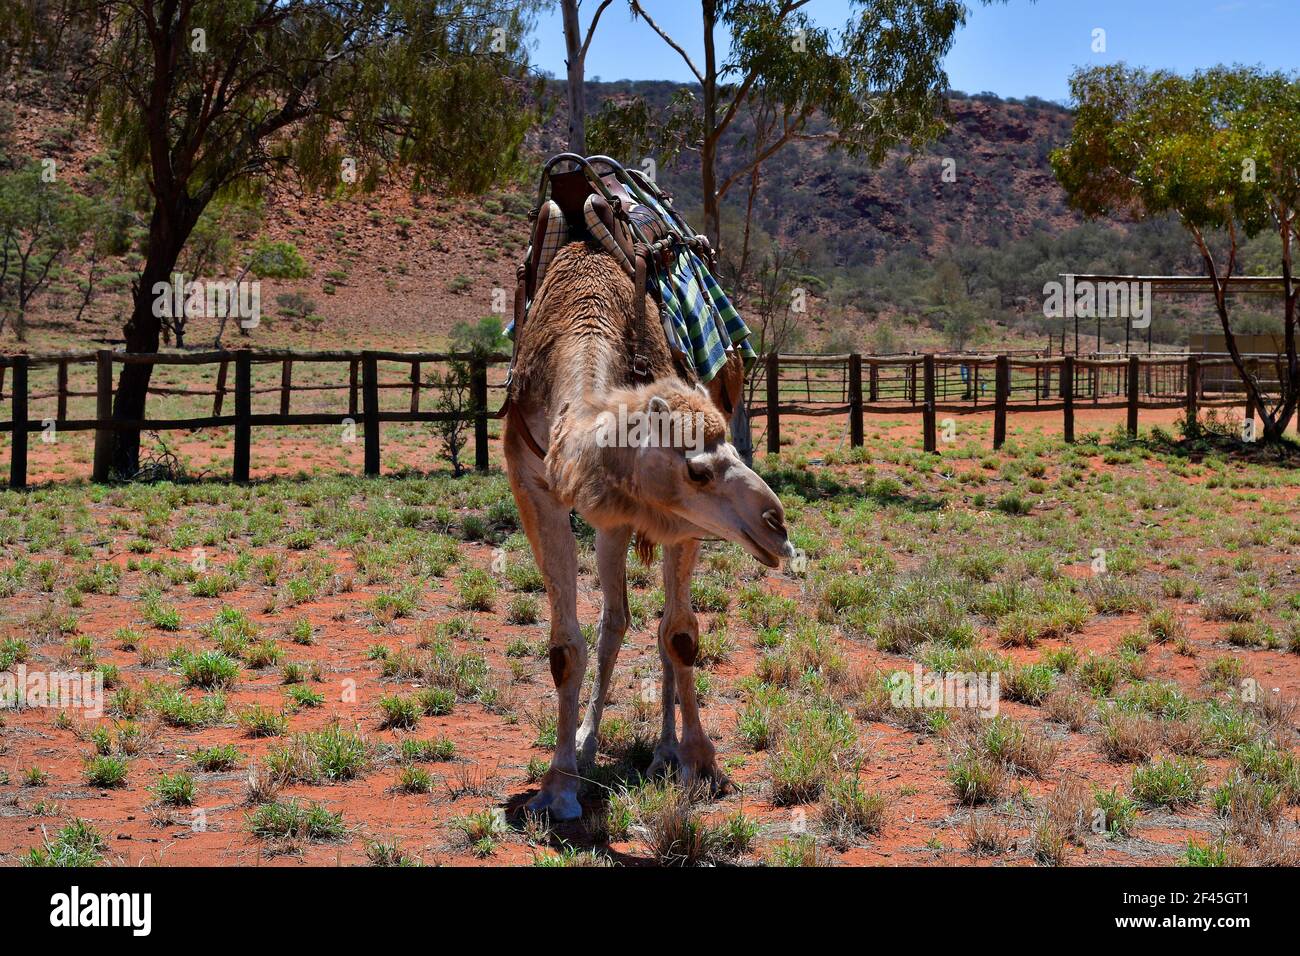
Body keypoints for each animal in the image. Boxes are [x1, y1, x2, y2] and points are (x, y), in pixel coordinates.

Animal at [504, 241, 794, 820]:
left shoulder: (682, 524)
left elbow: (679, 635)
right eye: (697, 471)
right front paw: (559, 785)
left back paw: (664, 749)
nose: (775, 525)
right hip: (613, 524)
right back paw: (589, 743)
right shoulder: (536, 487)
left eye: (732, 448)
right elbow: (566, 647)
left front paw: (700, 760)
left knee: (659, 626)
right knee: (614, 620)